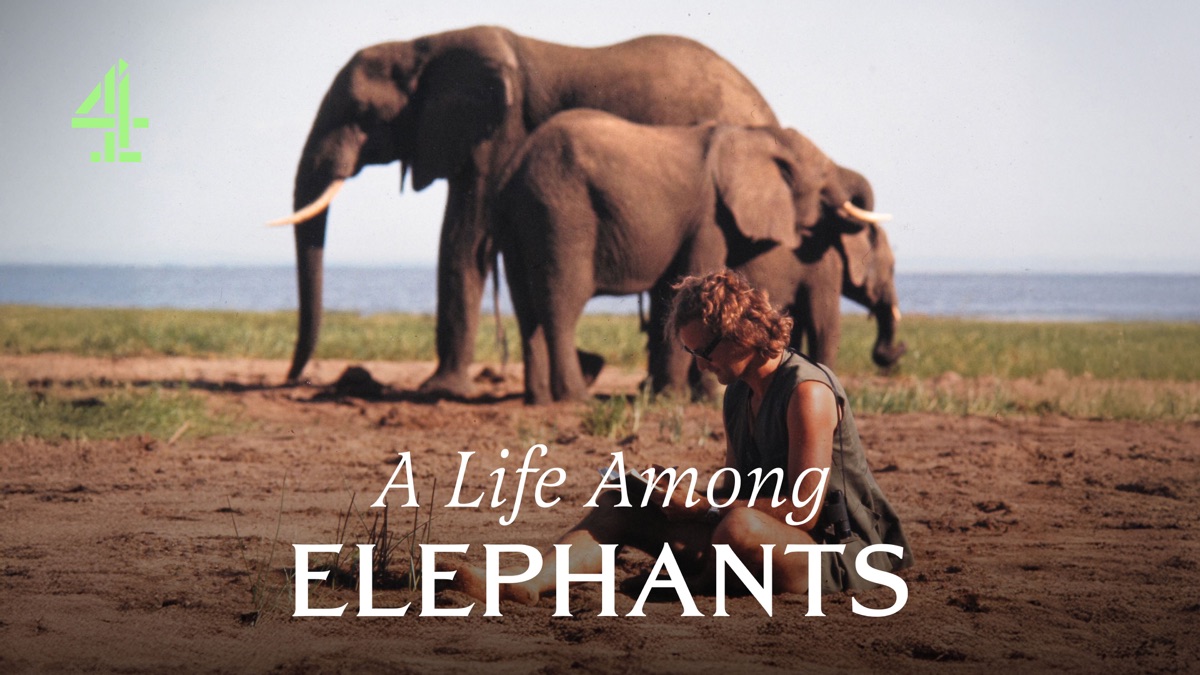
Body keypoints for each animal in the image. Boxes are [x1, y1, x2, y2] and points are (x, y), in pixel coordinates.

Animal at [270, 26, 778, 396]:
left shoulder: (496, 132)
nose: (296, 378)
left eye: (361, 114)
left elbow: (463, 241)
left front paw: (440, 390)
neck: (423, 46)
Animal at [494, 109, 895, 403]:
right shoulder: (710, 218)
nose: (890, 353)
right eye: (824, 177)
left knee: (525, 309)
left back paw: (539, 399)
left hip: (518, 218)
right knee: (563, 302)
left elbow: (669, 298)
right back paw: (576, 398)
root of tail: (516, 163)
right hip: (561, 210)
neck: (753, 135)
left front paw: (667, 395)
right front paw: (680, 398)